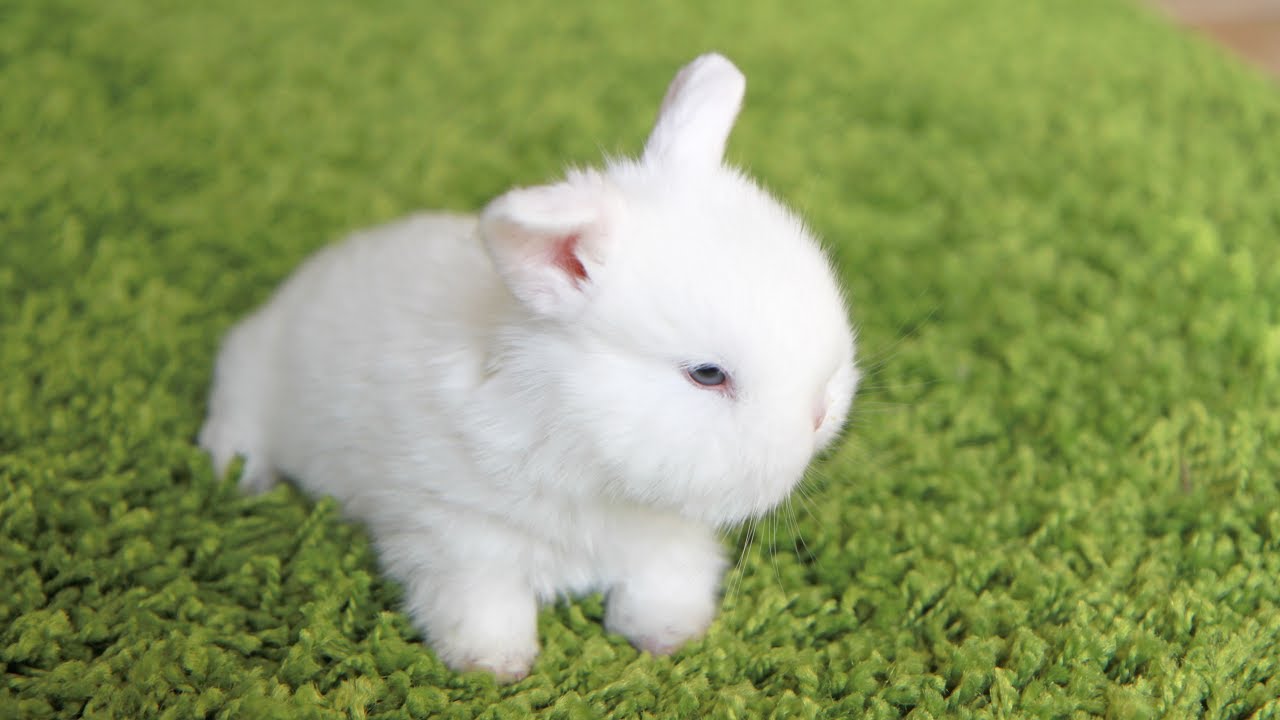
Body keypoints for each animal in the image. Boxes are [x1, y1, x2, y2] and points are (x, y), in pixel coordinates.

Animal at [198, 52, 860, 680]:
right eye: (706, 374)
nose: (819, 413)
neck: (583, 448)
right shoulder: (456, 537)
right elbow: (486, 608)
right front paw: (496, 668)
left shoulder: (668, 541)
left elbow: (664, 586)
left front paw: (671, 639)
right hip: (251, 381)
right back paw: (245, 478)